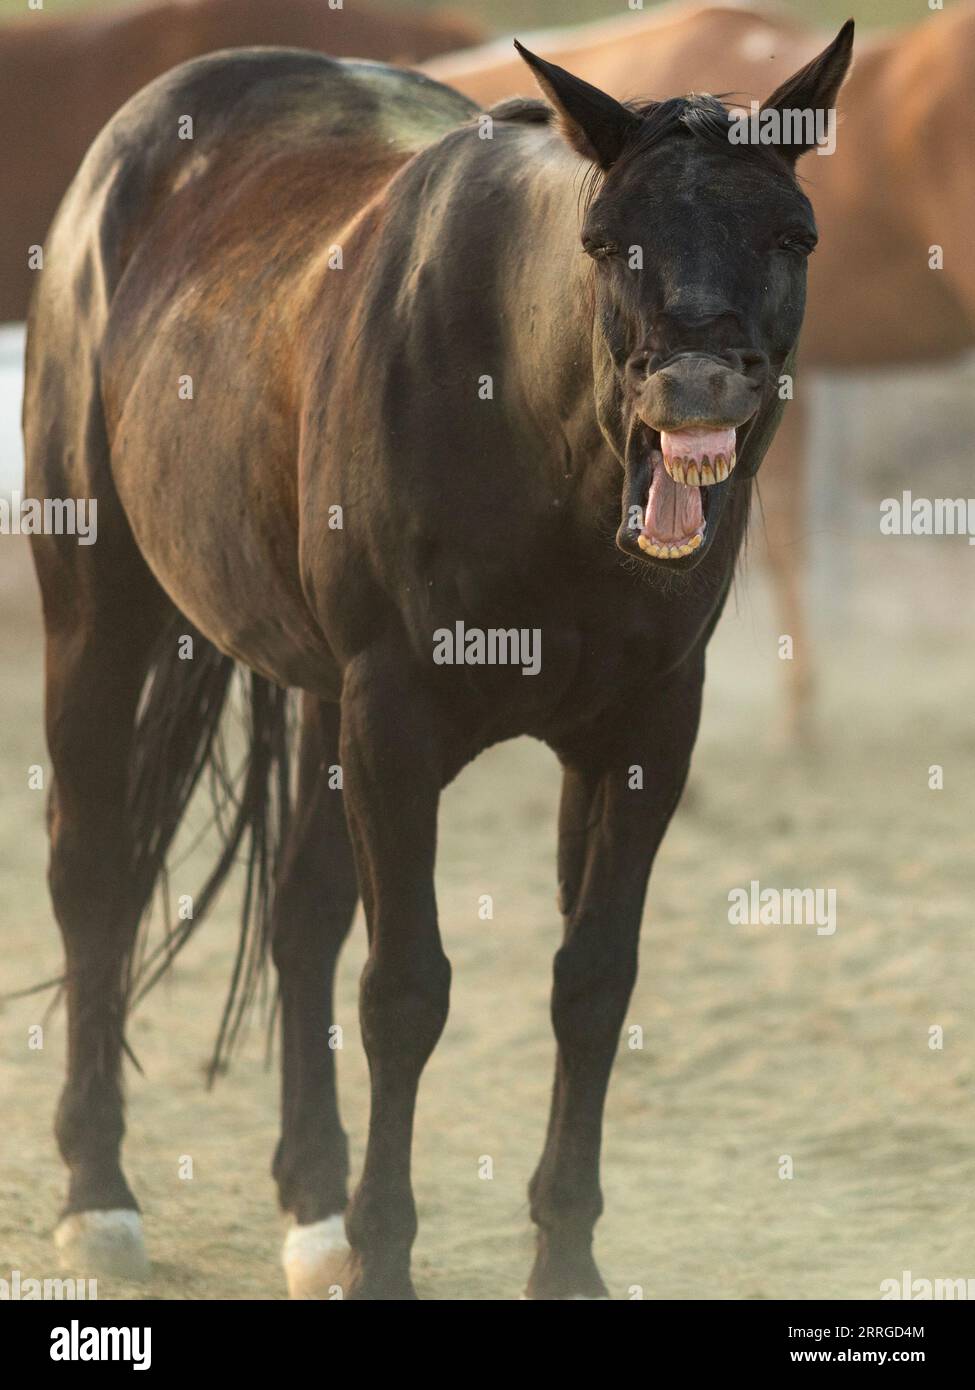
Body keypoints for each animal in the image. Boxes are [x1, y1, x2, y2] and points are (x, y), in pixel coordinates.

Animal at [24, 24, 853, 1299]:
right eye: (607, 240)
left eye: (792, 233)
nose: (697, 392)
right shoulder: (397, 720)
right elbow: (405, 992)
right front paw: (387, 1255)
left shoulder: (645, 730)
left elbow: (592, 984)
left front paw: (563, 1259)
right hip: (97, 611)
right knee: (94, 878)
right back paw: (99, 1197)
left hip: (318, 696)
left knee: (300, 914)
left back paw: (313, 1213)